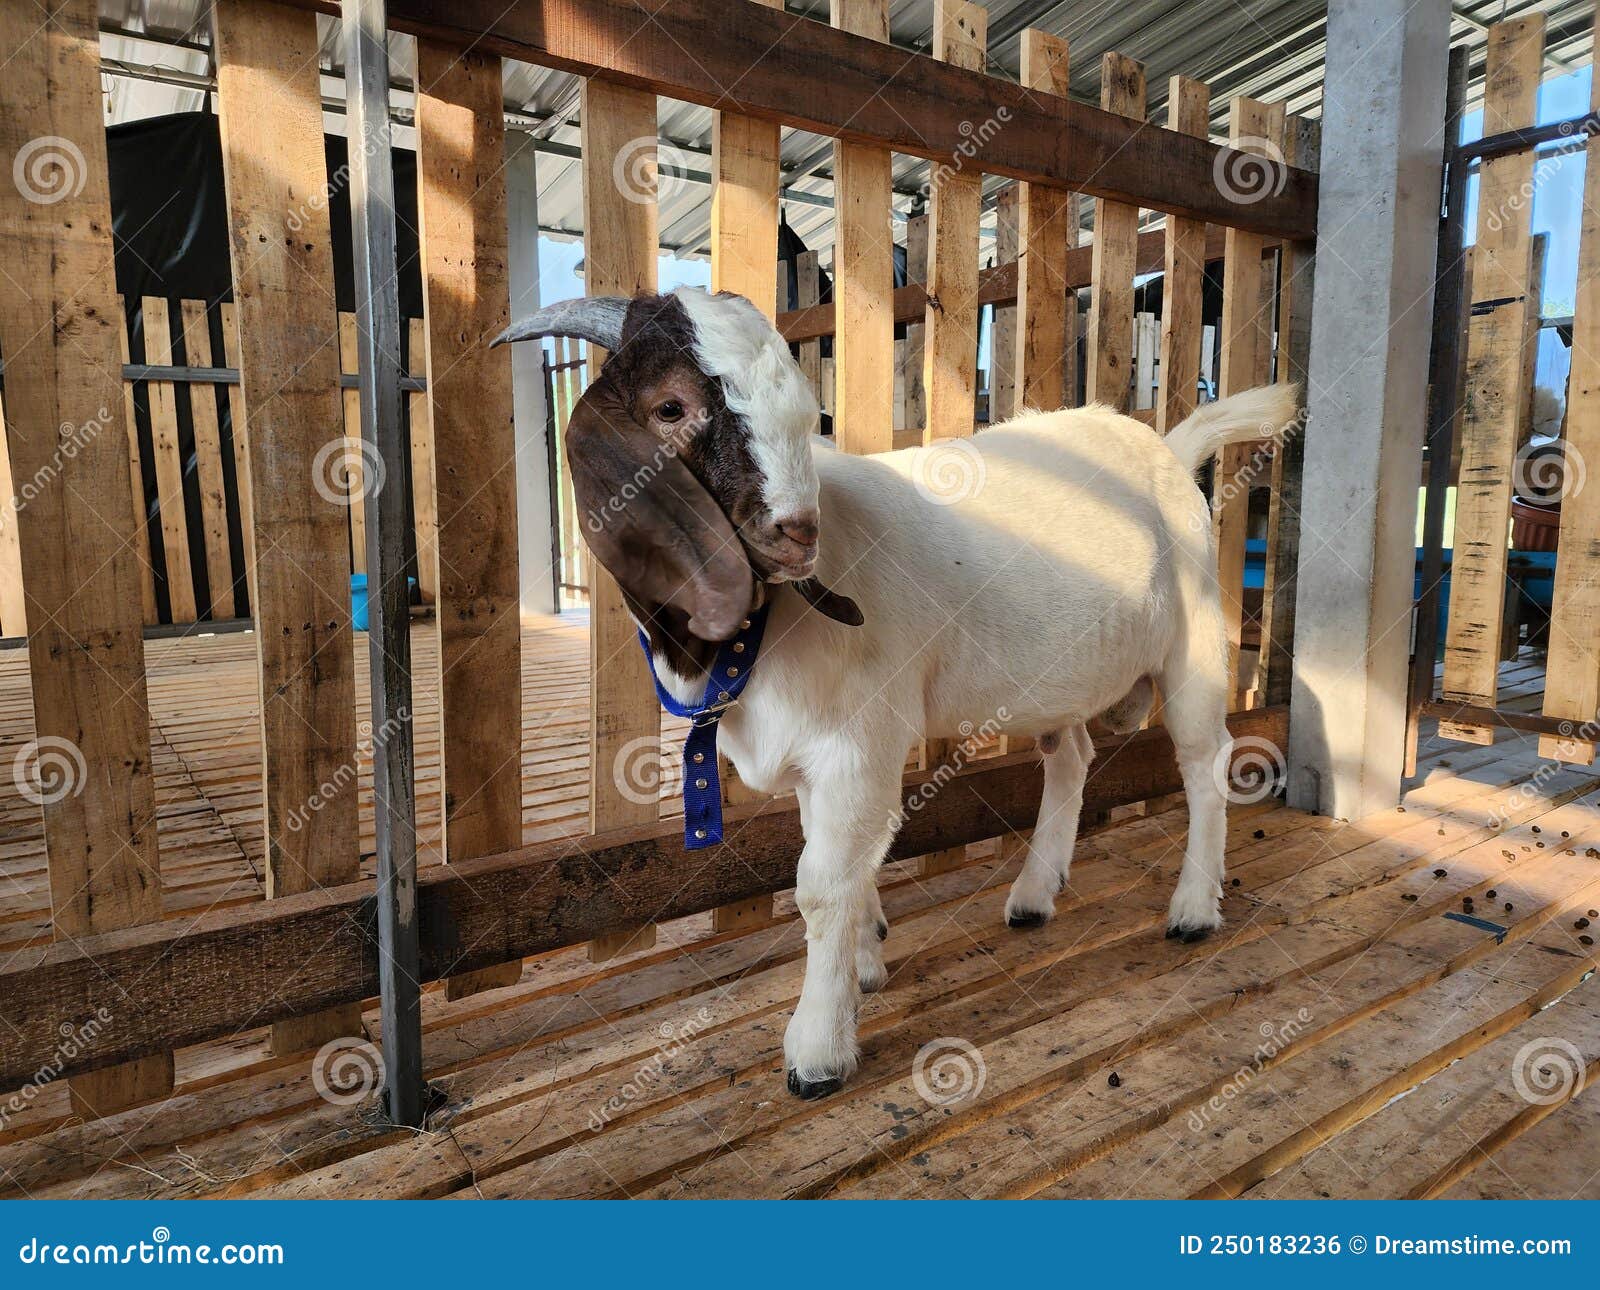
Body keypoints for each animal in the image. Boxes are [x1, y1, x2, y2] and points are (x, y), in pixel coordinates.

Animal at [496, 287, 1298, 1098]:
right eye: (670, 406)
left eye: (805, 412)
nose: (799, 532)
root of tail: (1167, 448)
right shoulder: (821, 760)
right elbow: (844, 869)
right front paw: (864, 964)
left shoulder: (857, 746)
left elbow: (821, 885)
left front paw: (818, 1050)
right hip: (1057, 682)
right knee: (1069, 754)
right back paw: (1035, 895)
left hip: (1194, 644)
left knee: (1203, 761)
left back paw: (1193, 909)